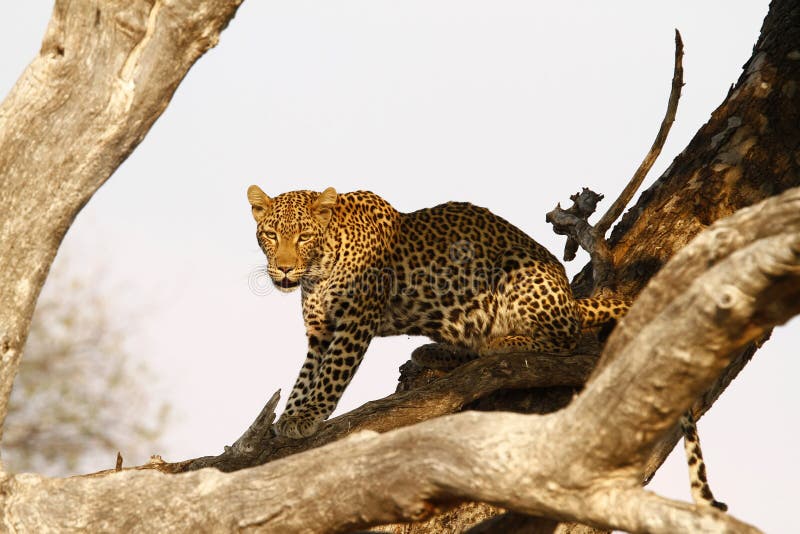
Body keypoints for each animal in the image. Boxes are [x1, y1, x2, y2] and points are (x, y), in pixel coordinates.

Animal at [247, 185, 725, 510]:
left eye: (304, 236)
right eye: (269, 233)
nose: (283, 269)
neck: (320, 266)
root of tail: (573, 299)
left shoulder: (354, 323)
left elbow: (330, 376)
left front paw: (305, 418)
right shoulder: (320, 331)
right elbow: (305, 376)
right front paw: (291, 415)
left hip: (517, 275)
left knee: (566, 337)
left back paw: (504, 341)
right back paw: (436, 352)